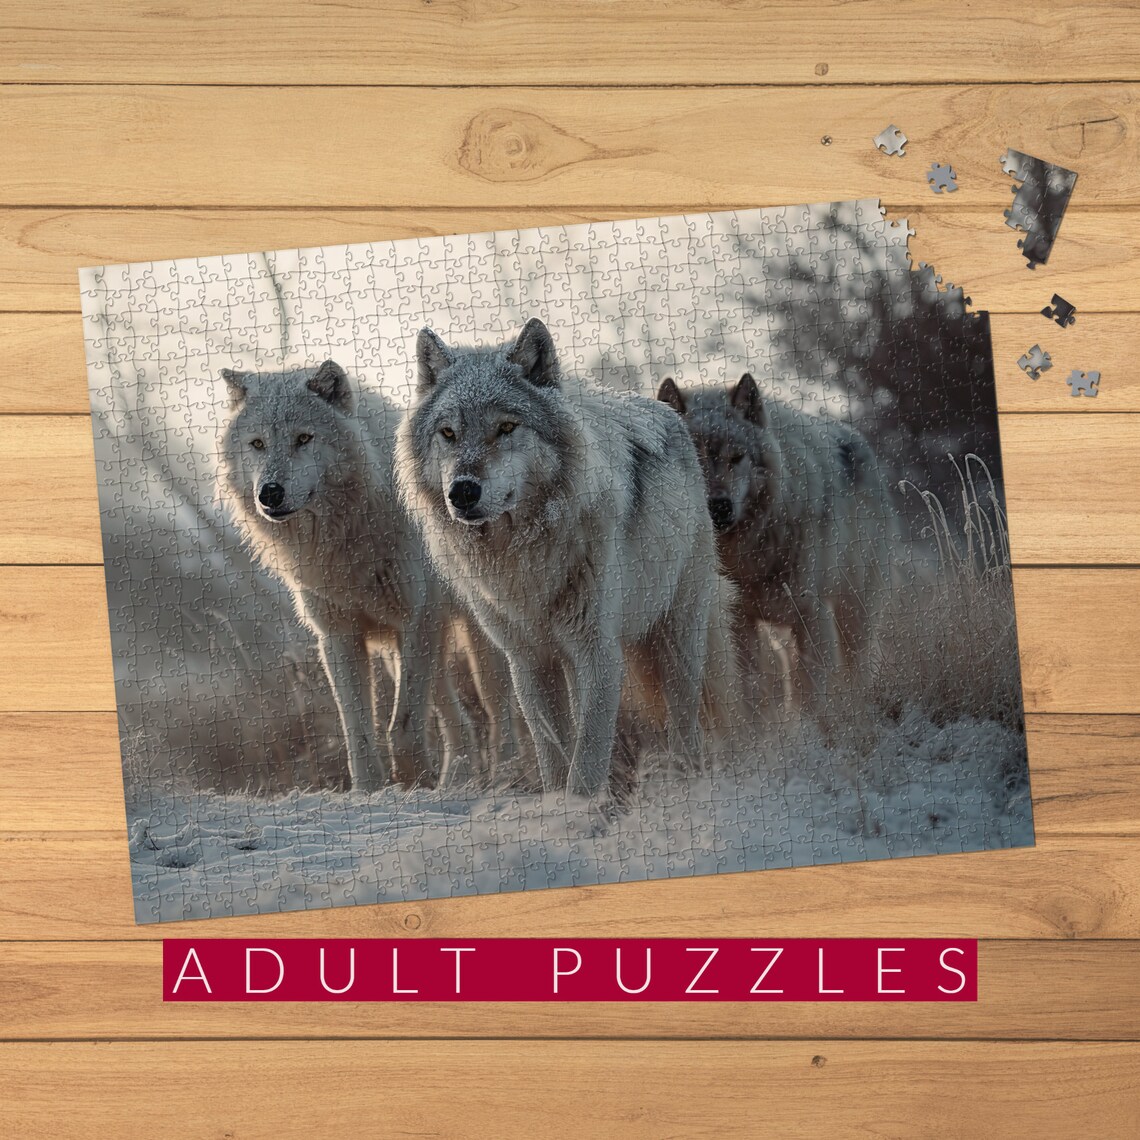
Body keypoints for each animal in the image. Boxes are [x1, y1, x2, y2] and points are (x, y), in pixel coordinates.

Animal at [217, 359, 476, 793]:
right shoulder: (339, 636)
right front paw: (371, 791)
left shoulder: (418, 618)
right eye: (257, 444)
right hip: (418, 651)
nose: (269, 492)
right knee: (462, 722)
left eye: (304, 438)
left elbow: (402, 726)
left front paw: (410, 786)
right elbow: (359, 732)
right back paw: (460, 779)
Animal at [395, 319, 738, 800]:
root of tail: (669, 413)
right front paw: (561, 806)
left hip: (679, 640)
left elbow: (587, 754)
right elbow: (555, 754)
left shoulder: (597, 652)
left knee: (686, 725)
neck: (523, 558)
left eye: (506, 427)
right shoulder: (529, 661)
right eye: (448, 433)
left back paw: (687, 784)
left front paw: (581, 810)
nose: (462, 491)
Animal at [657, 372, 897, 708]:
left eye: (736, 458)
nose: (719, 507)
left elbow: (810, 696)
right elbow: (751, 695)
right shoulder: (740, 621)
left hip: (853, 612)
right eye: (696, 459)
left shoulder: (812, 613)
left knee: (856, 668)